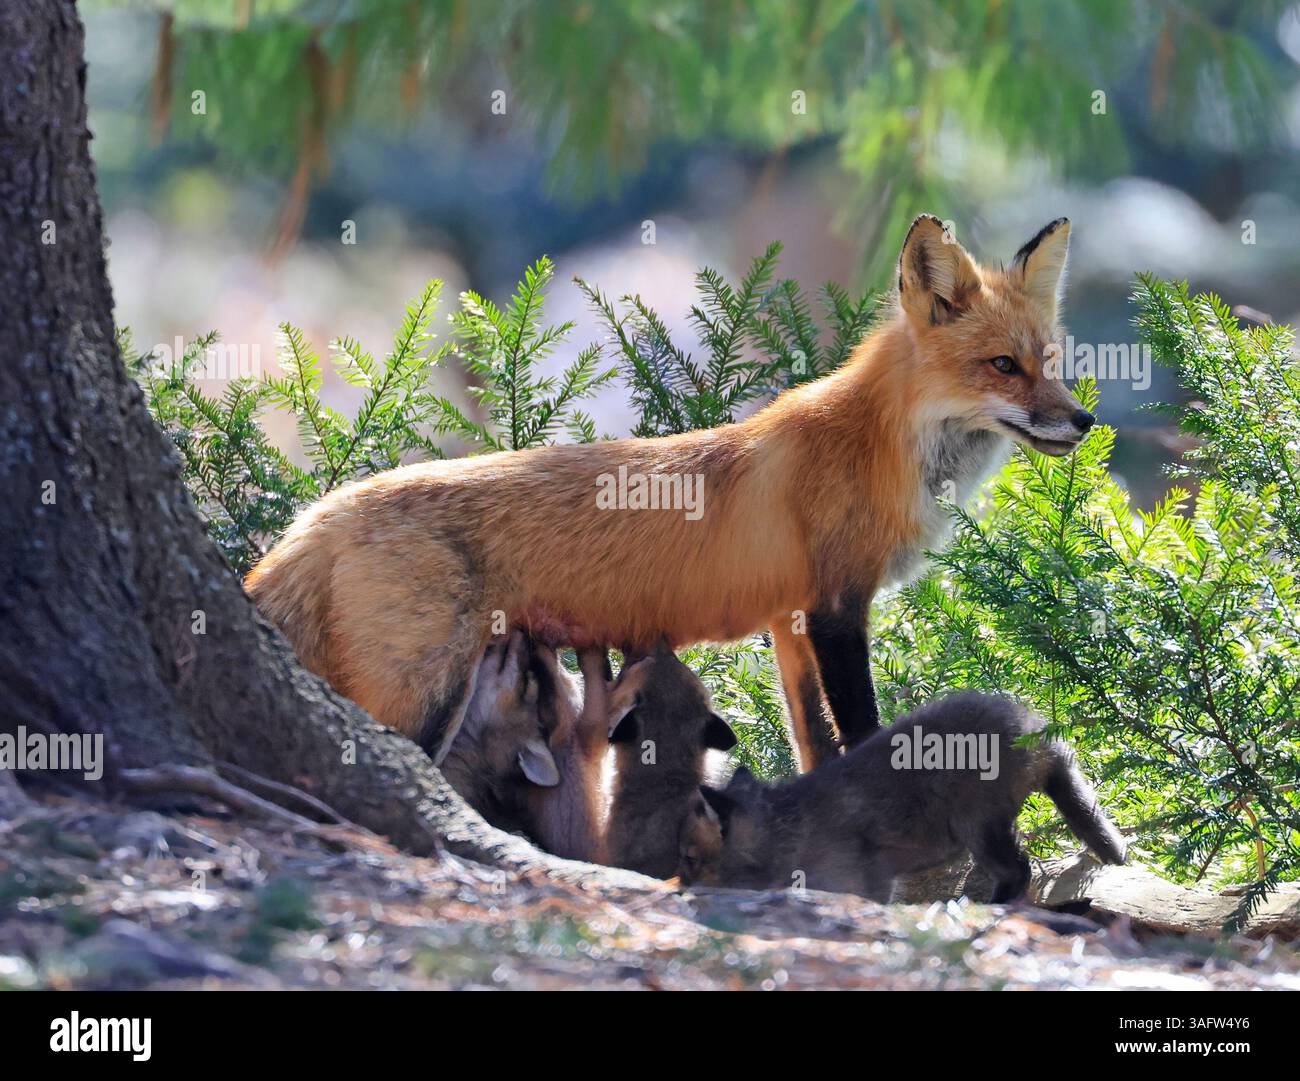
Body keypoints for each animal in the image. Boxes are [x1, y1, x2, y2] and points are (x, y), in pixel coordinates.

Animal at [245, 215, 1090, 772]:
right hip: (422, 696)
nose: (1084, 422)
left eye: (1052, 361)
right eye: (1003, 366)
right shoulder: (835, 609)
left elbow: (813, 743)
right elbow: (861, 730)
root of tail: (318, 514)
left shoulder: (789, 625)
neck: (876, 448)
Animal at [679, 692, 1127, 903]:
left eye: (690, 857)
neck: (785, 828)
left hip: (979, 826)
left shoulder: (865, 882)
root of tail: (1035, 727)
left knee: (1019, 871)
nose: (680, 885)